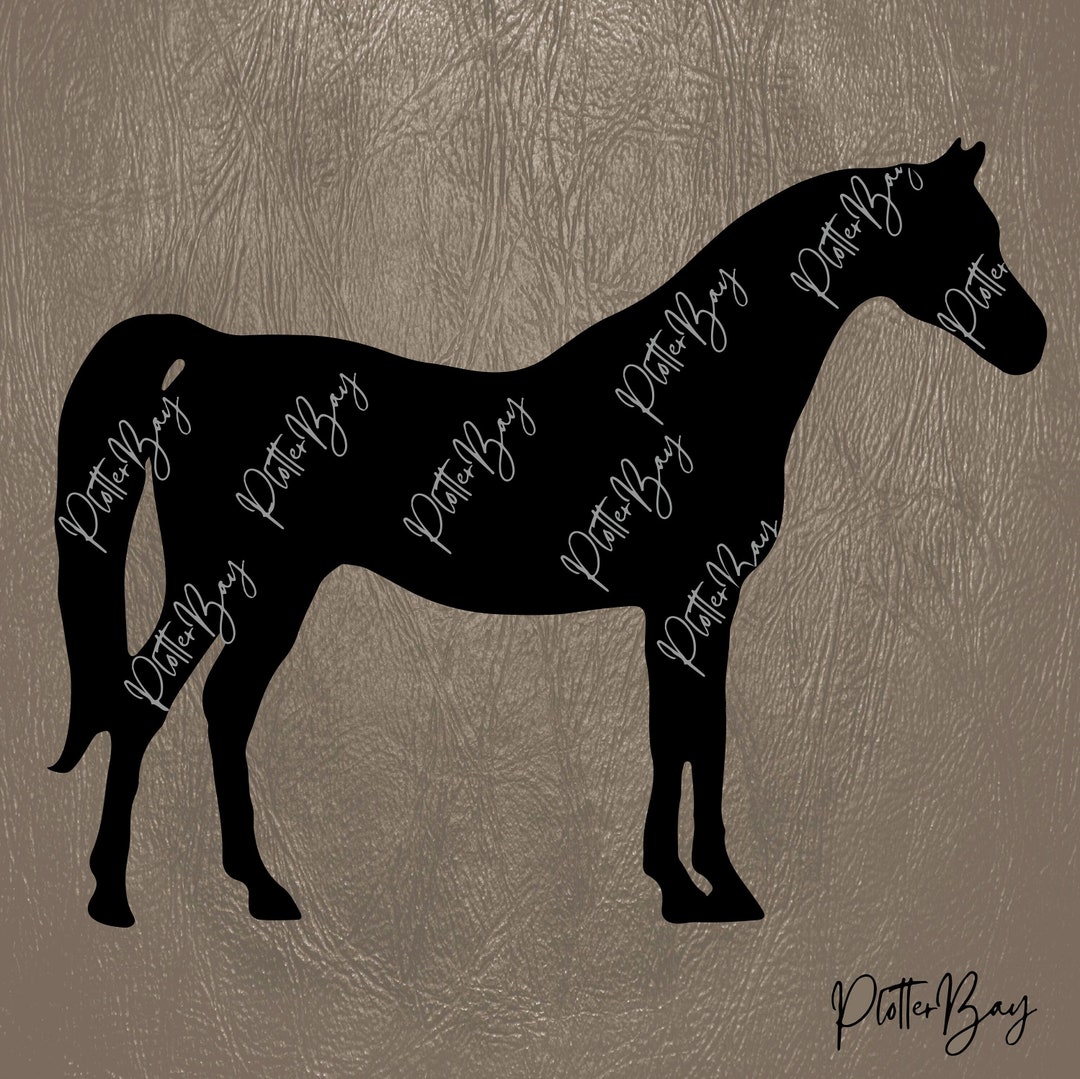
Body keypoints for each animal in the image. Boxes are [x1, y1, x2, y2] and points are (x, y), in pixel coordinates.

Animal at [51, 139, 1045, 927]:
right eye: (959, 235)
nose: (1032, 340)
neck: (692, 389)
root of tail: (212, 353)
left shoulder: (695, 606)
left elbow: (693, 734)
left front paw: (703, 884)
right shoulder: (688, 599)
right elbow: (685, 734)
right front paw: (693, 888)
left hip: (271, 591)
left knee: (223, 707)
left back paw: (259, 887)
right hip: (221, 580)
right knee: (145, 700)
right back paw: (113, 897)